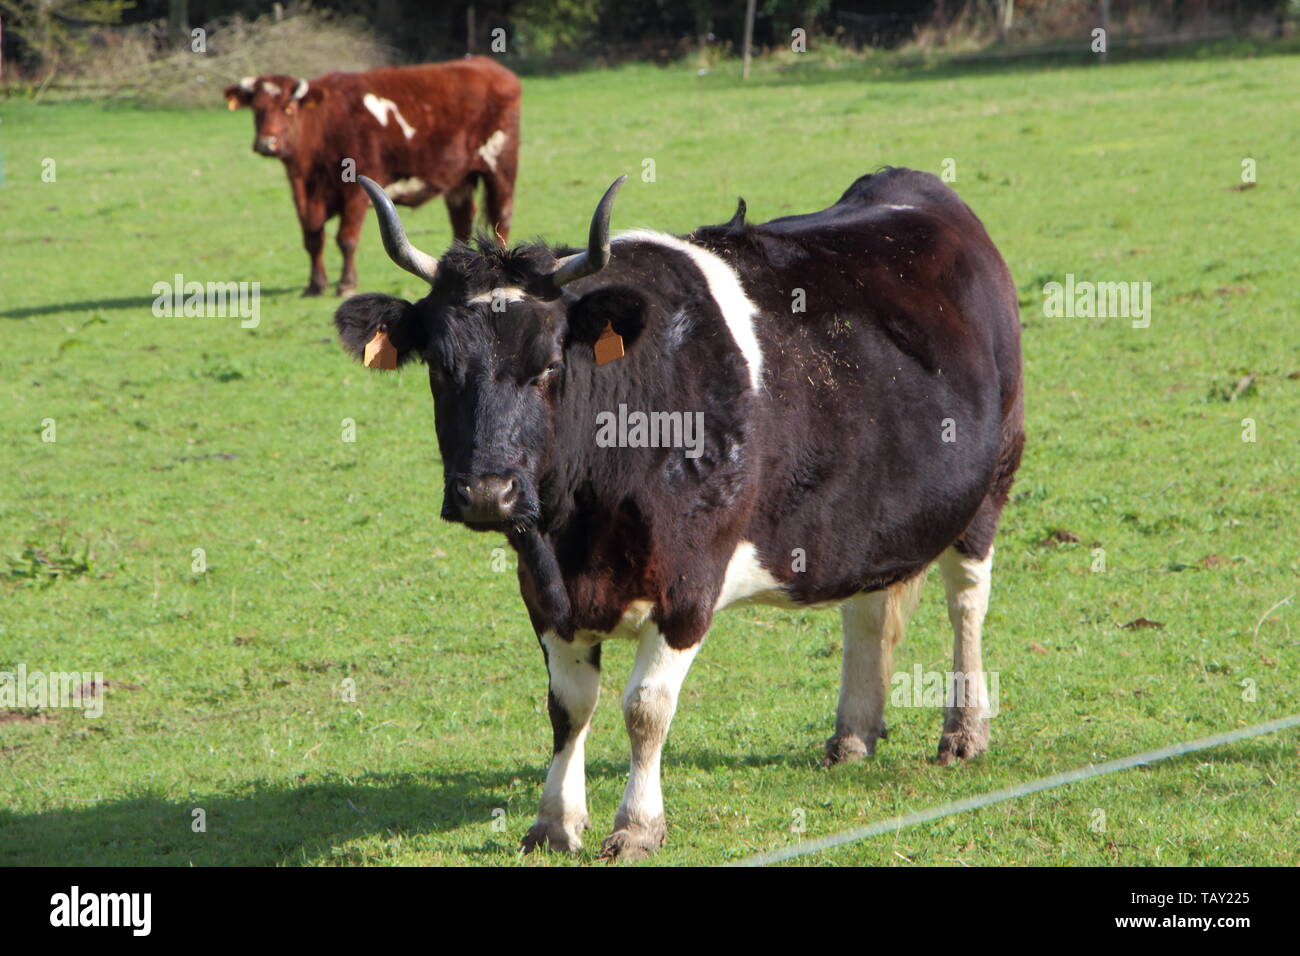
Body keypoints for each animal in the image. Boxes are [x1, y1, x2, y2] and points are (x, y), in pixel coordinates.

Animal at [224, 58, 520, 297]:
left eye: (288, 108)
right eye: (257, 109)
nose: (266, 143)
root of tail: (487, 66)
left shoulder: (356, 190)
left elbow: (346, 239)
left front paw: (346, 284)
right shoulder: (304, 194)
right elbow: (313, 238)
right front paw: (315, 285)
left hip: (501, 167)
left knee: (502, 215)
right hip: (458, 180)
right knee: (462, 222)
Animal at [332, 166, 1024, 861]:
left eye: (549, 365)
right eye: (440, 370)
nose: (487, 493)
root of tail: (910, 184)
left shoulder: (689, 581)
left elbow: (645, 708)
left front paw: (637, 825)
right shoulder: (543, 588)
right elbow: (568, 706)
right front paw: (555, 821)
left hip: (989, 487)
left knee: (967, 600)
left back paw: (965, 729)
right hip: (867, 516)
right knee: (867, 608)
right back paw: (854, 734)